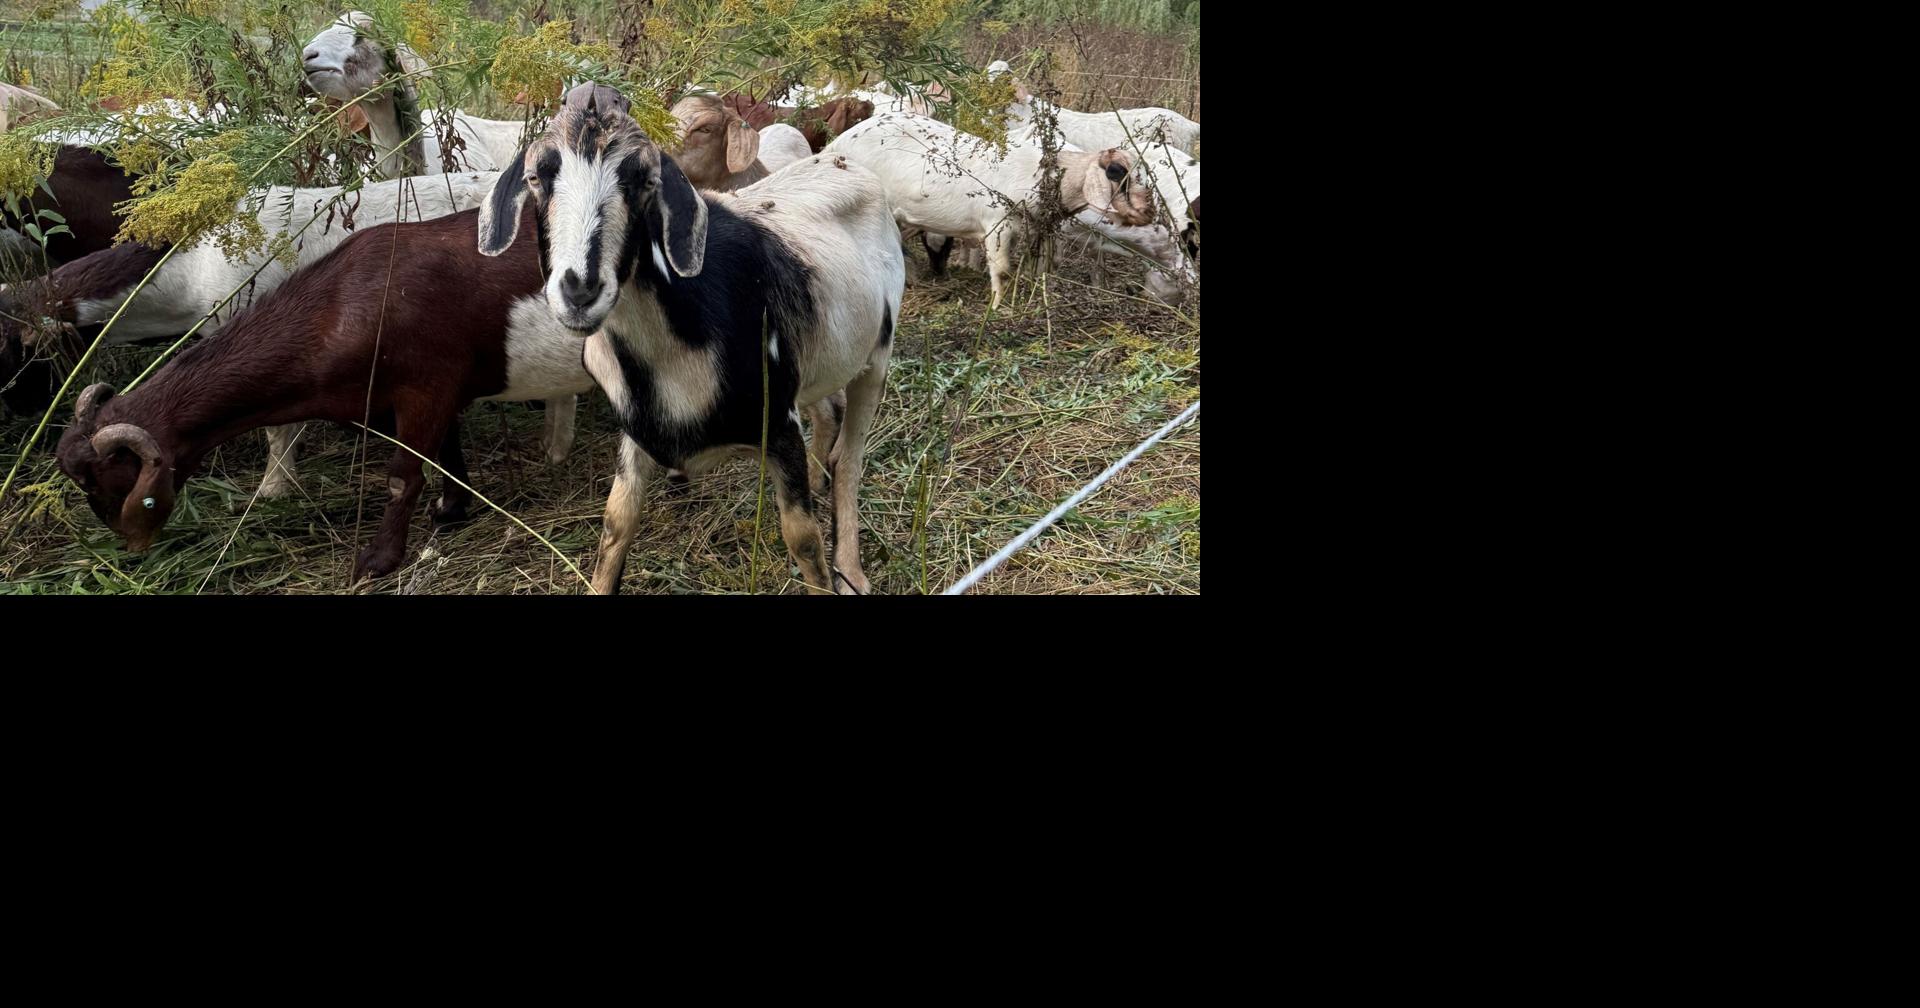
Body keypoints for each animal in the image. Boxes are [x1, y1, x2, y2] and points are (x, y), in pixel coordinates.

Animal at [55, 201, 593, 582]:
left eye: (108, 481)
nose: (129, 549)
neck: (338, 310)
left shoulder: (425, 389)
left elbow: (402, 478)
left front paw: (377, 560)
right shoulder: (411, 399)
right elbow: (444, 453)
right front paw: (451, 510)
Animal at [477, 85, 904, 595]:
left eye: (645, 178)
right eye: (536, 176)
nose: (580, 289)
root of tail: (847, 164)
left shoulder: (778, 421)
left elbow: (803, 540)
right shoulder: (637, 427)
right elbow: (616, 523)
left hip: (877, 354)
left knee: (851, 459)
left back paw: (851, 567)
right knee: (830, 414)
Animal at [824, 111, 1155, 310]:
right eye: (1116, 172)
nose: (1148, 212)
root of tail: (837, 143)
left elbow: (1033, 267)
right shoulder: (998, 223)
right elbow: (1003, 269)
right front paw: (997, 307)